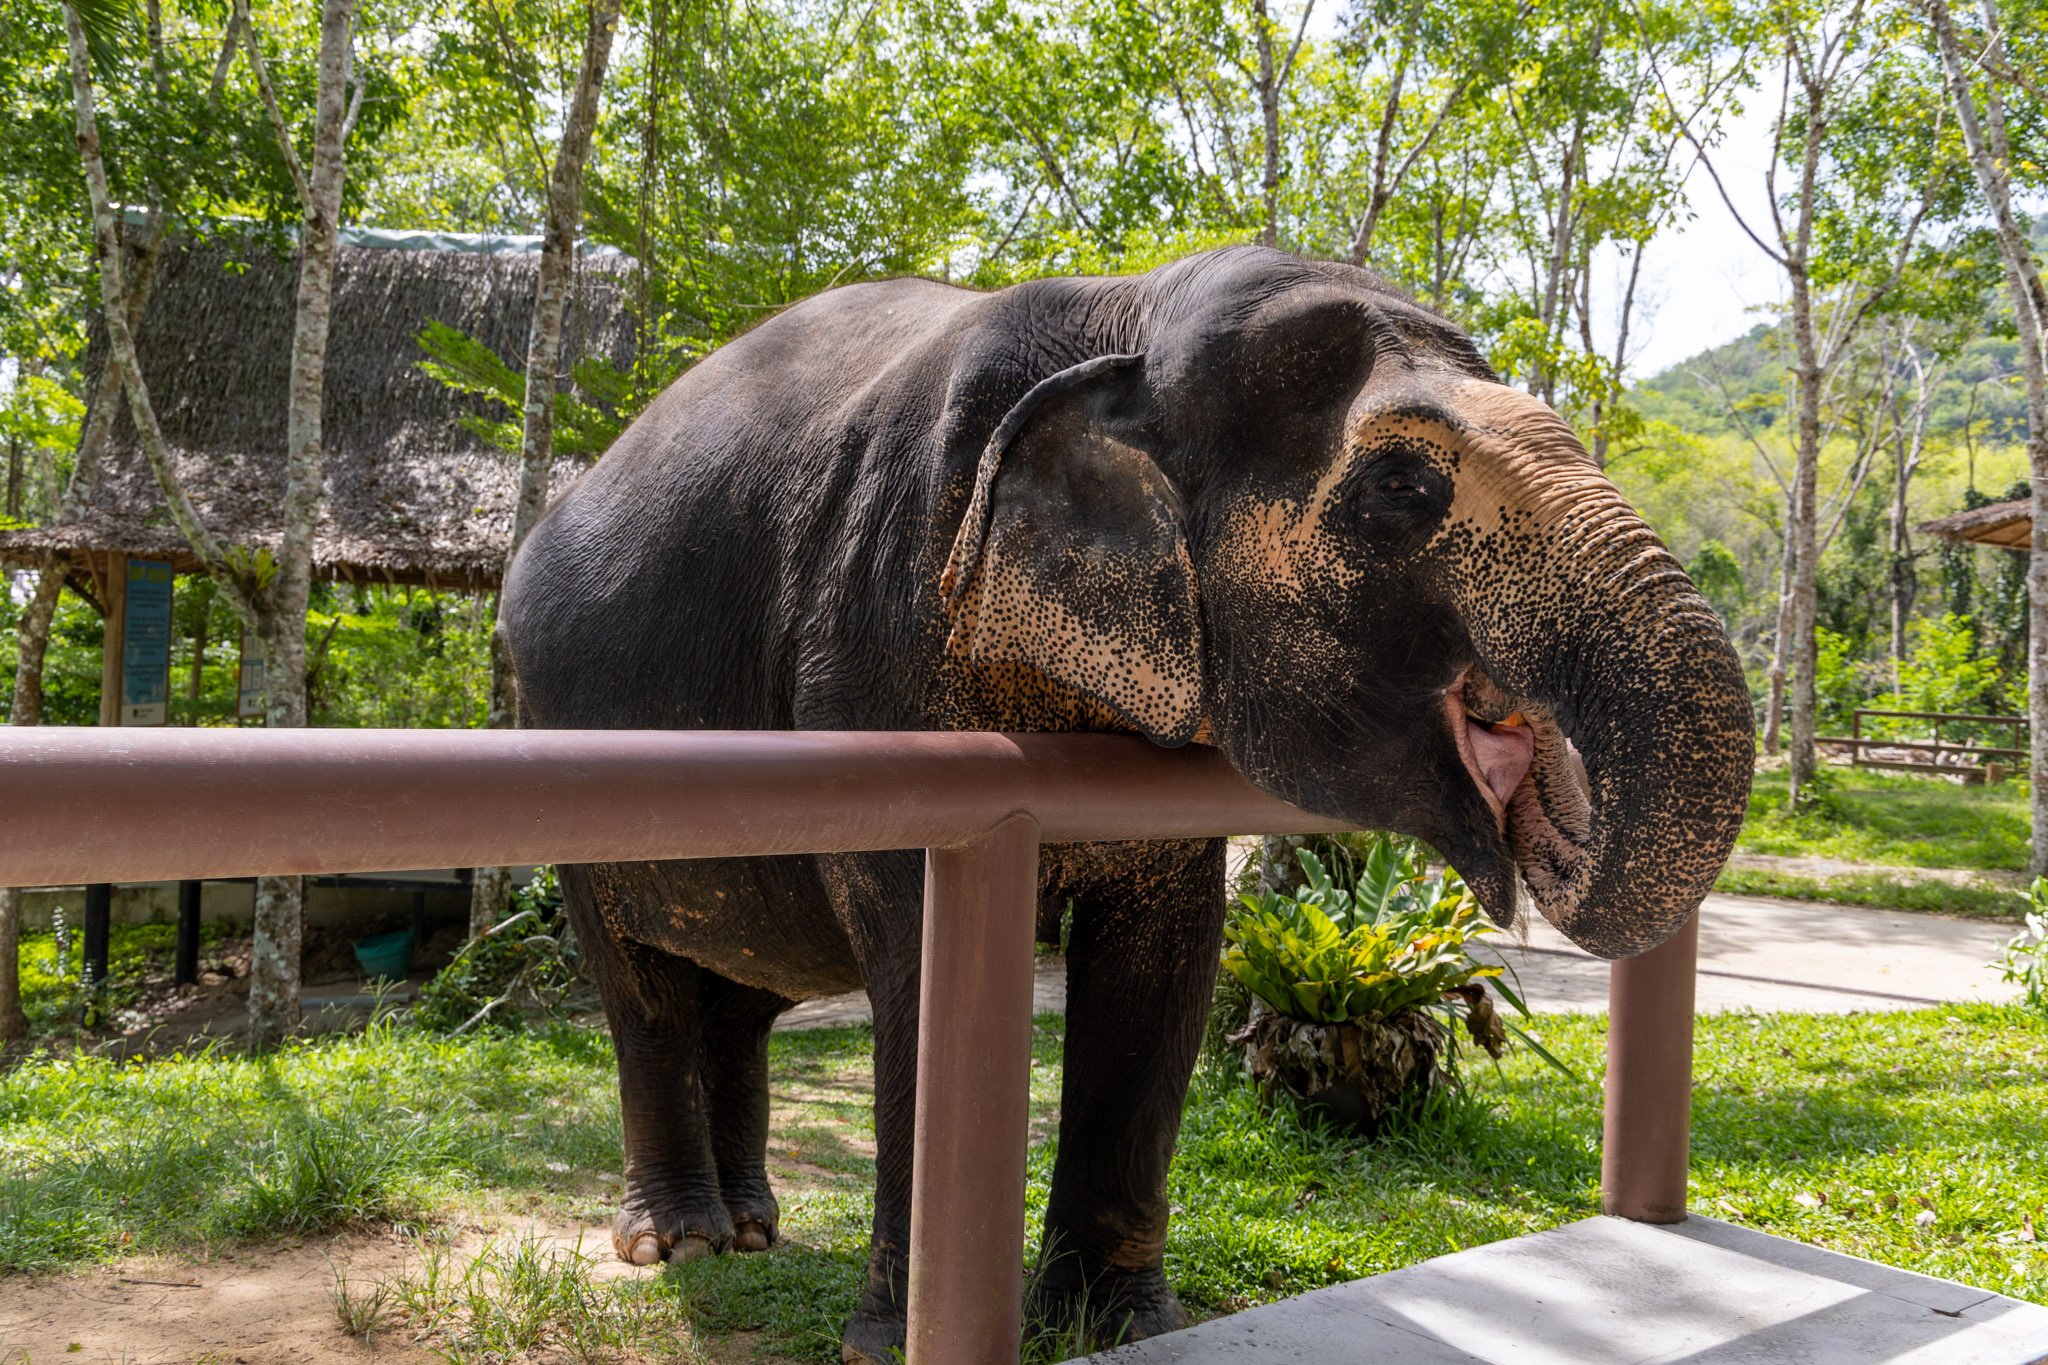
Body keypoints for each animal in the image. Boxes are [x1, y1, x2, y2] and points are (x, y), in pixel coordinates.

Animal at [498, 244, 1755, 1359]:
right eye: (1401, 488)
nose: (1541, 827)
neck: (1128, 314)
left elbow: (1163, 961)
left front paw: (1120, 1329)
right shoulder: (875, 627)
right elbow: (918, 947)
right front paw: (883, 1344)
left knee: (739, 993)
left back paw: (752, 1229)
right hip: (554, 736)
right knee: (642, 989)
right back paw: (678, 1244)